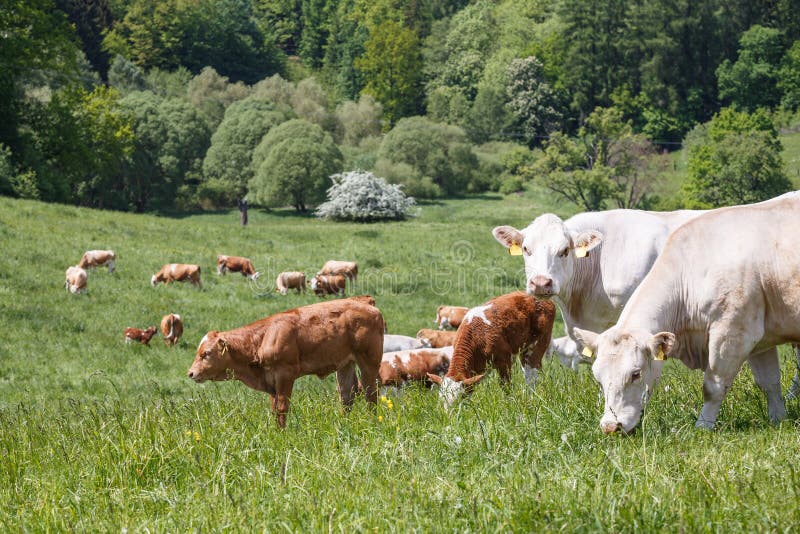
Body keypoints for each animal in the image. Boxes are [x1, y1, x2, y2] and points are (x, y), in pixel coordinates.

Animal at [187, 297, 385, 428]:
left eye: (206, 353)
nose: (191, 373)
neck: (263, 338)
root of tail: (363, 301)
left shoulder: (285, 375)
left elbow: (282, 407)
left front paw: (283, 434)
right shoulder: (270, 380)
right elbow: (274, 408)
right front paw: (275, 432)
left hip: (369, 360)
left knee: (370, 393)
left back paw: (372, 423)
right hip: (345, 364)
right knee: (347, 395)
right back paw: (344, 425)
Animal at [428, 292, 556, 406]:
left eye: (460, 398)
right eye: (441, 400)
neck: (476, 335)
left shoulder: (504, 361)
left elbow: (506, 386)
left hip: (537, 346)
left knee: (532, 376)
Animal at [573, 192, 800, 433]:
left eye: (635, 374)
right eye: (597, 376)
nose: (610, 426)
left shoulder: (734, 334)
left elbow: (713, 386)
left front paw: (703, 426)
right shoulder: (759, 338)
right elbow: (769, 382)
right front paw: (779, 419)